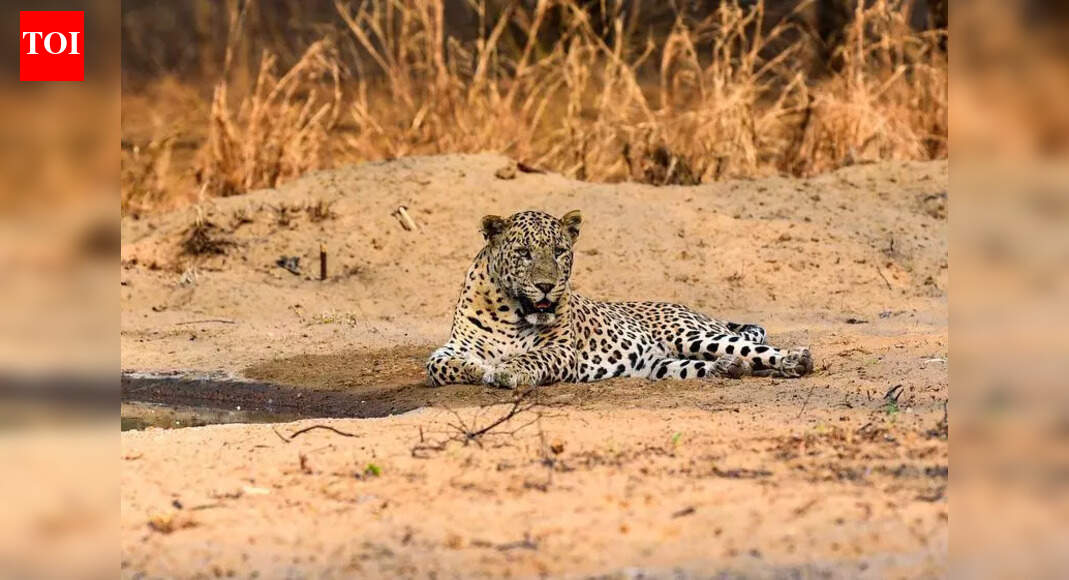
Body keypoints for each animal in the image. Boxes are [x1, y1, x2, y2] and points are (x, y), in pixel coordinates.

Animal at [427, 210, 813, 388]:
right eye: (523, 253)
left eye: (559, 251)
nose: (546, 286)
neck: (511, 311)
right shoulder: (452, 347)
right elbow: (439, 365)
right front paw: (479, 368)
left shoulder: (561, 350)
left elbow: (531, 356)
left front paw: (506, 370)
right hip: (660, 363)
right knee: (704, 363)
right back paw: (726, 368)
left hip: (691, 334)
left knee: (757, 349)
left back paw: (795, 360)